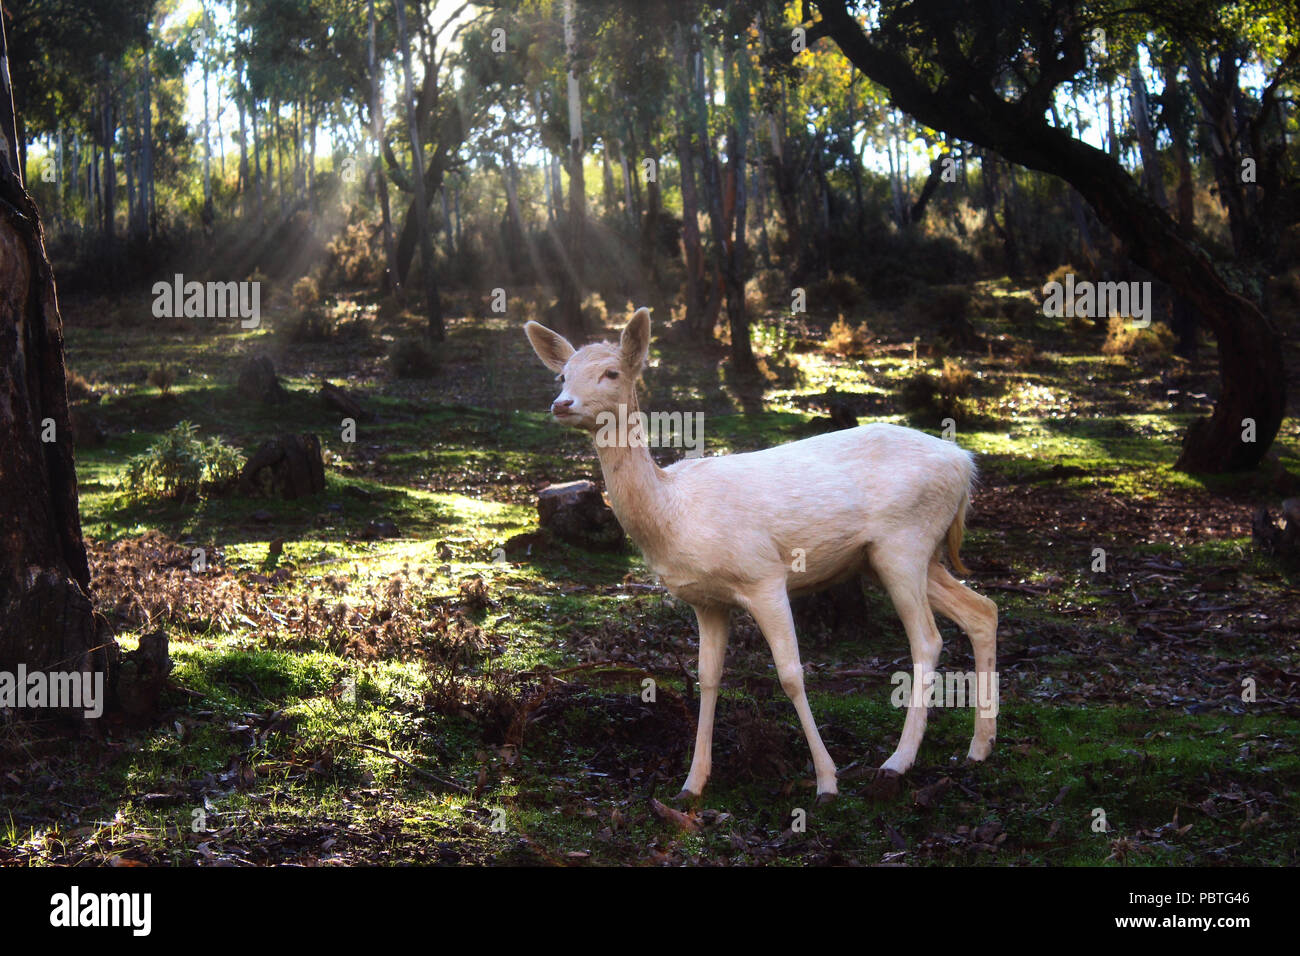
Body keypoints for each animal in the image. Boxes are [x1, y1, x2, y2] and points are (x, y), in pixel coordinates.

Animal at [524, 308, 998, 804]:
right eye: (561, 374)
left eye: (612, 372)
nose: (562, 403)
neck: (675, 512)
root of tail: (965, 464)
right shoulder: (707, 602)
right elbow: (708, 677)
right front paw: (691, 784)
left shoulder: (764, 575)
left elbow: (790, 673)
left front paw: (827, 781)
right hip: (905, 555)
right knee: (982, 609)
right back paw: (979, 746)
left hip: (903, 541)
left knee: (927, 638)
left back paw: (897, 762)